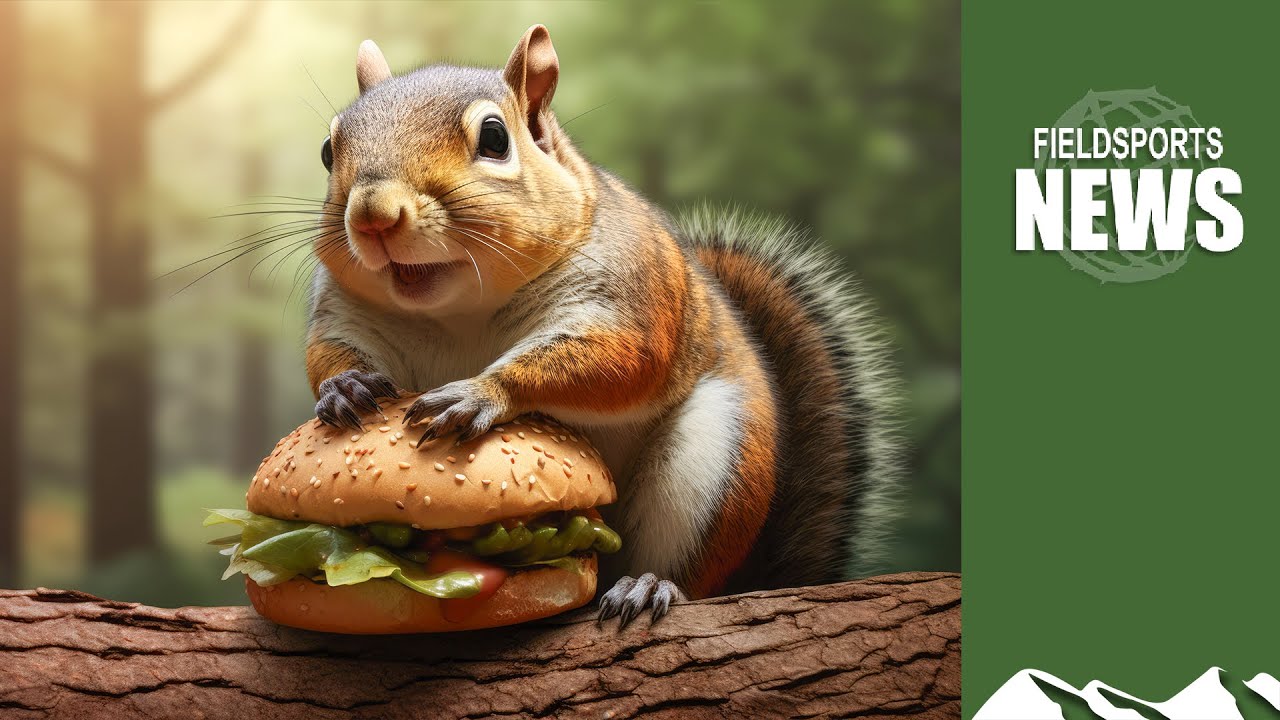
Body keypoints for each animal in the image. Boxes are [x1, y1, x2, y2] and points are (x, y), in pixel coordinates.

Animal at [304, 25, 901, 625]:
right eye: (329, 150)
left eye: (495, 139)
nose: (374, 215)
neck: (458, 314)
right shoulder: (343, 312)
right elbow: (327, 354)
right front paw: (343, 387)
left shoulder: (627, 290)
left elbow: (620, 358)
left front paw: (479, 393)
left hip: (714, 466)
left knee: (687, 568)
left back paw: (650, 586)